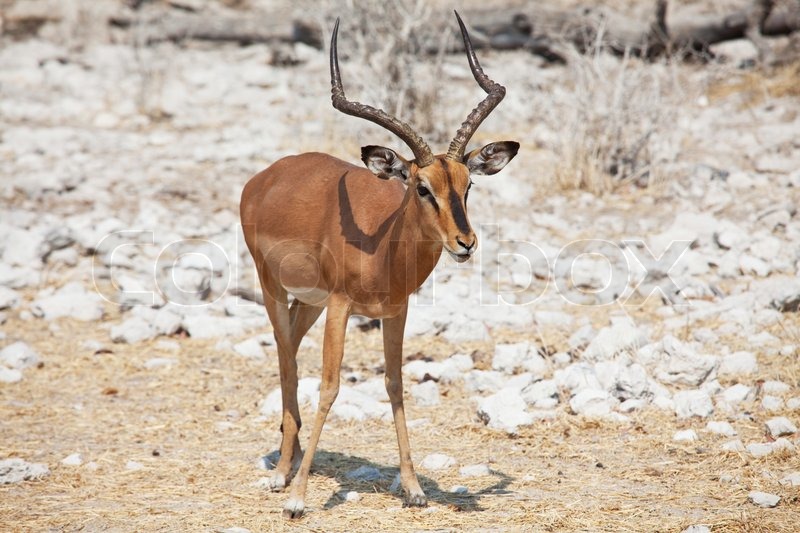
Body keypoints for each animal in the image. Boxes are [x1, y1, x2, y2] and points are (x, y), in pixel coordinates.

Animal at [240, 12, 519, 518]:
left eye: (467, 185)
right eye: (422, 187)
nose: (465, 243)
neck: (383, 247)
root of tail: (264, 178)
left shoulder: (395, 312)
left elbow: (394, 384)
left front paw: (414, 488)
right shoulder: (342, 307)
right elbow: (330, 386)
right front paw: (297, 499)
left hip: (309, 303)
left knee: (291, 348)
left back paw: (290, 459)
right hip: (274, 288)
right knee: (286, 357)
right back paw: (281, 475)